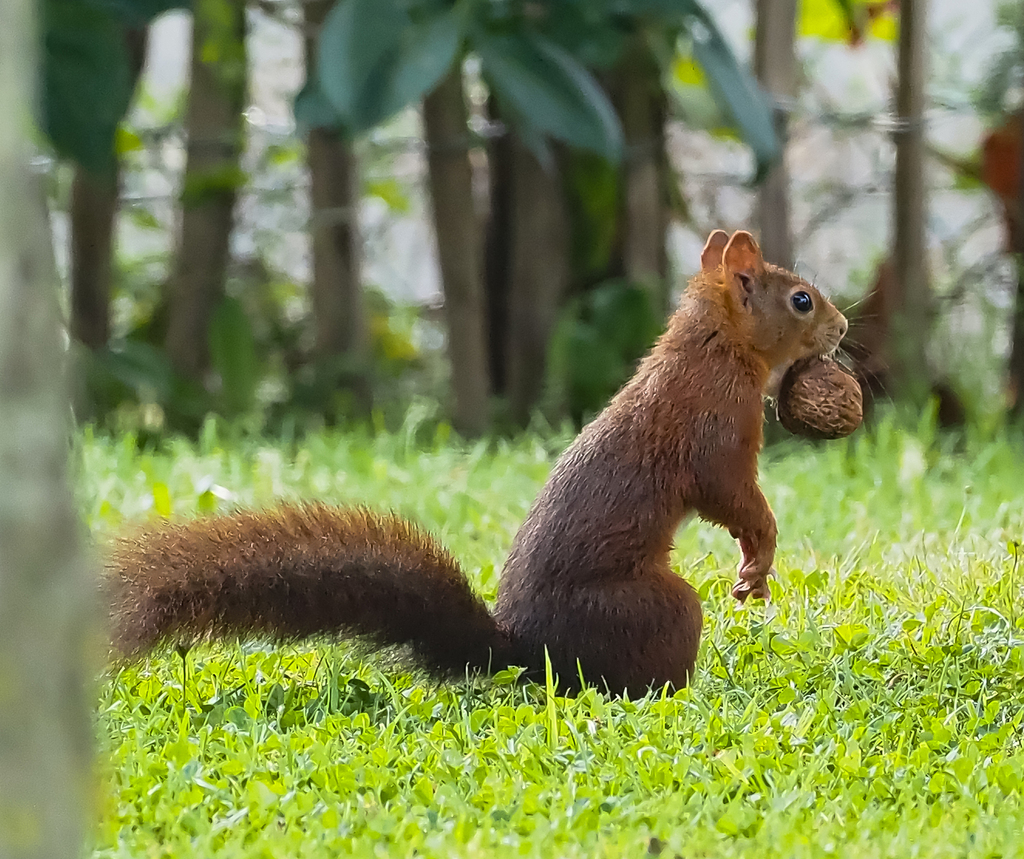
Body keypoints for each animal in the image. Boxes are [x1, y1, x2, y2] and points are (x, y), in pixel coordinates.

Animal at [108, 230, 848, 695]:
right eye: (801, 300)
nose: (842, 329)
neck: (713, 343)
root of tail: (528, 651)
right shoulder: (716, 429)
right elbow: (734, 498)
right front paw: (758, 559)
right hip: (656, 607)